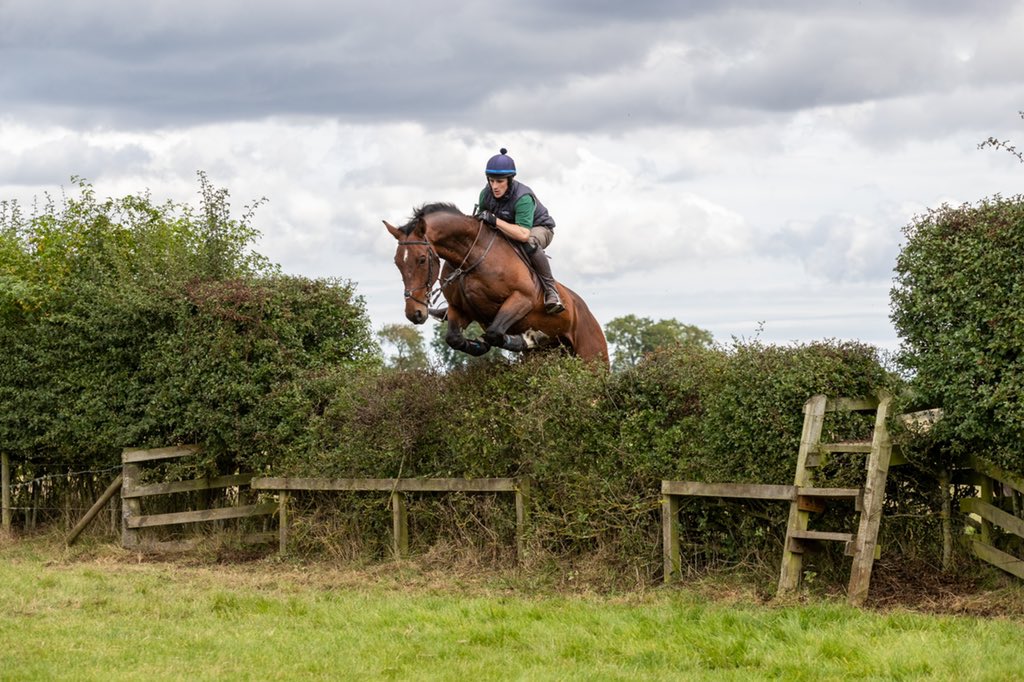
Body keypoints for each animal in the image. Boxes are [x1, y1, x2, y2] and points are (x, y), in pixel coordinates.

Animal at [384, 203, 609, 366]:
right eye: (397, 262)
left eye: (422, 259)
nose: (414, 313)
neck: (470, 259)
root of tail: (587, 311)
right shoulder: (461, 309)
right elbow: (455, 338)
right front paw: (480, 345)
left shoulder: (522, 299)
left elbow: (494, 332)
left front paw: (528, 339)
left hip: (593, 358)